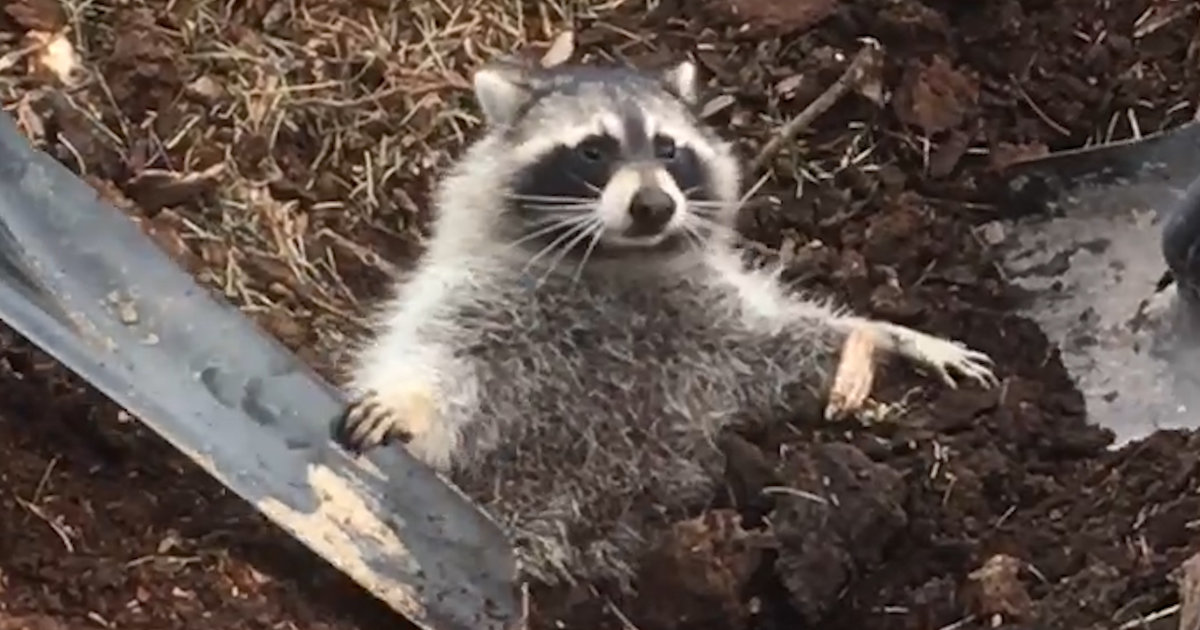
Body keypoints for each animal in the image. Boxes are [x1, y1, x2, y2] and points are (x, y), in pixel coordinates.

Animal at [331, 56, 998, 589]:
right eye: (592, 150)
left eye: (669, 148)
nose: (654, 204)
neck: (616, 262)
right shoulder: (479, 295)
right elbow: (445, 361)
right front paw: (409, 403)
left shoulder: (710, 320)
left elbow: (789, 345)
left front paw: (890, 340)